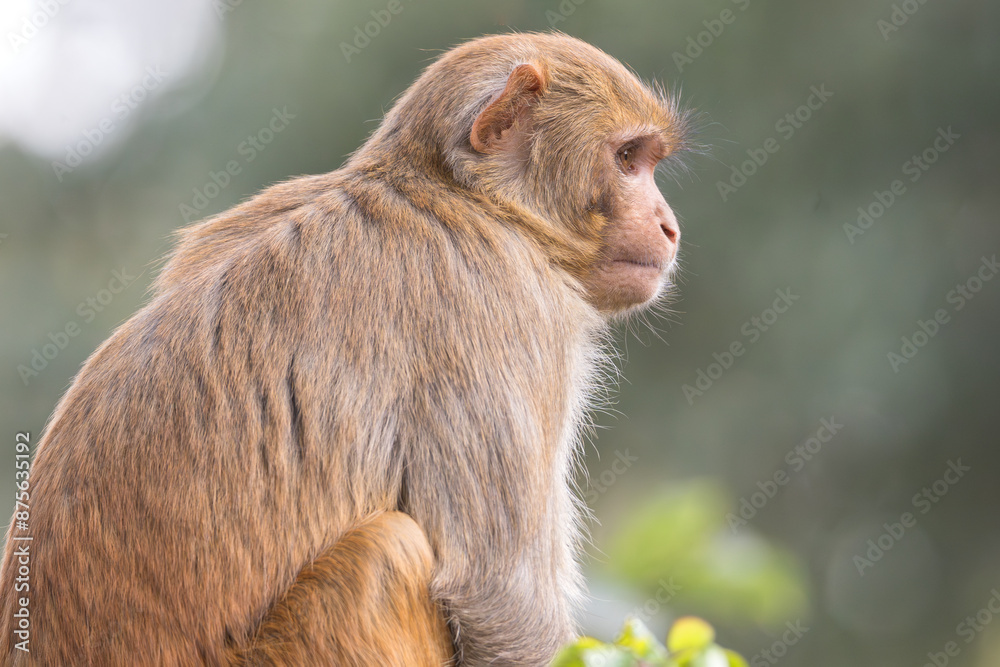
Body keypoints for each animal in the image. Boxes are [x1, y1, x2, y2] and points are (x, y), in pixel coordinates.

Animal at [0, 32, 691, 666]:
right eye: (627, 159)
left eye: (647, 161)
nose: (669, 226)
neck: (459, 195)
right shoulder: (505, 303)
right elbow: (503, 600)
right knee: (386, 557)